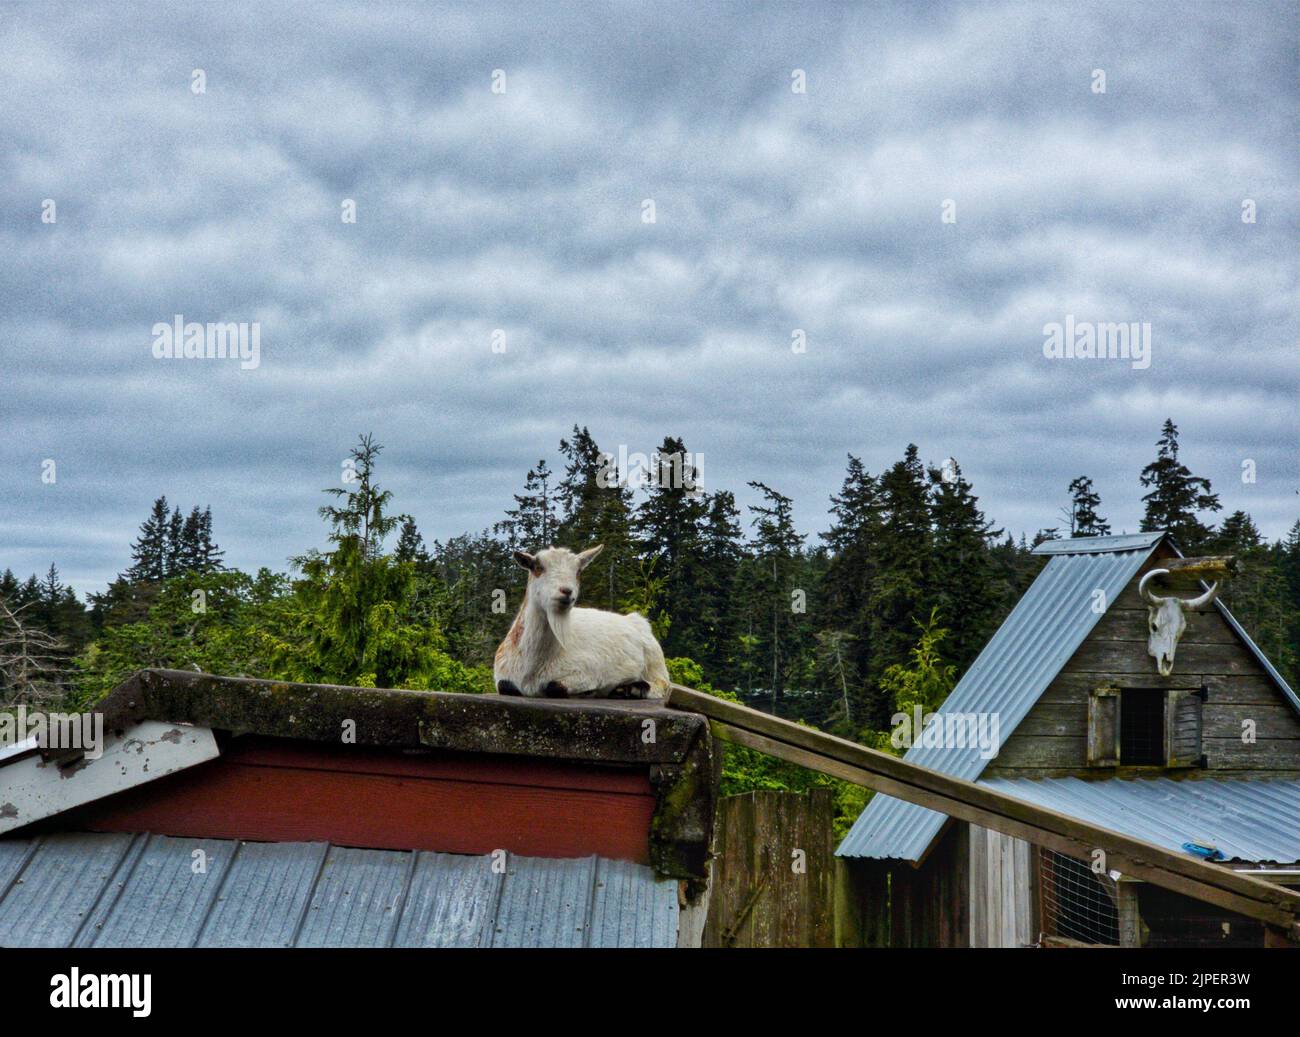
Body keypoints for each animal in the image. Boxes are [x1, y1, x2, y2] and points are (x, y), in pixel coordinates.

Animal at [492, 544, 671, 699]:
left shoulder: (587, 672)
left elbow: (555, 687)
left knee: (662, 683)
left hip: (654, 659)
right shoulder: (502, 674)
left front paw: (590, 692)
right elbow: (504, 686)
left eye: (578, 571)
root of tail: (632, 619)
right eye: (538, 567)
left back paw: (632, 689)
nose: (566, 591)